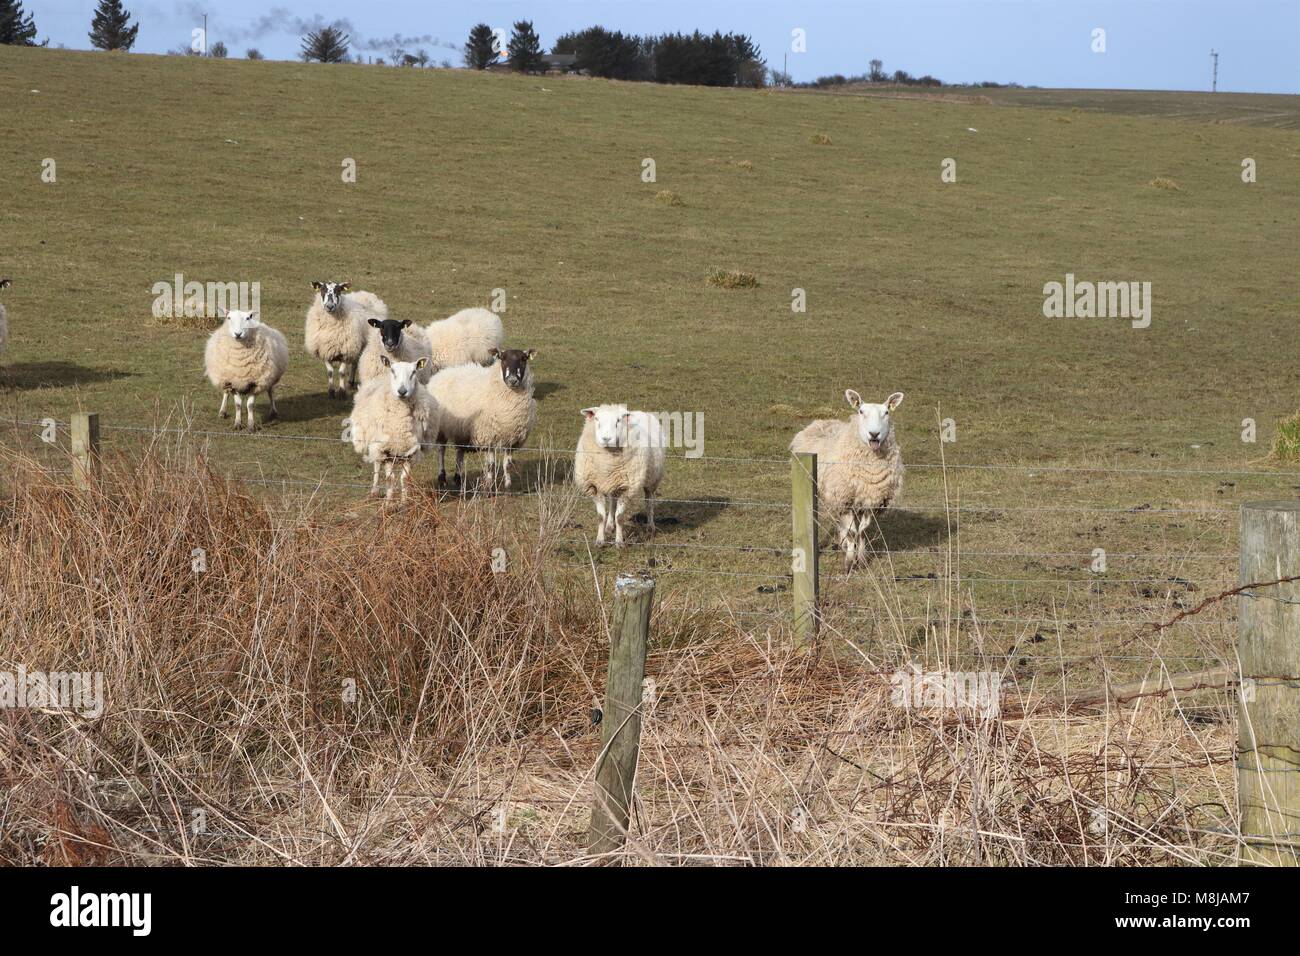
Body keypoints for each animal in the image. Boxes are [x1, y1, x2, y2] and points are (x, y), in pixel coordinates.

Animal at [348, 355, 440, 501]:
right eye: (392, 370)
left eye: (414, 372)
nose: (402, 391)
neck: (400, 423)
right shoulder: (386, 450)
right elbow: (389, 478)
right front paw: (388, 502)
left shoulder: (410, 450)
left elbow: (405, 479)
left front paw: (404, 502)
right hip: (376, 443)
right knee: (376, 465)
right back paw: (374, 491)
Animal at [428, 348, 537, 490]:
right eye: (502, 358)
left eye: (524, 359)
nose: (513, 380)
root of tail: (442, 373)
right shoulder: (488, 435)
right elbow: (490, 464)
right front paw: (489, 486)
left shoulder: (511, 437)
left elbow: (507, 464)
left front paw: (508, 485)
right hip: (441, 426)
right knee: (441, 450)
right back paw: (442, 478)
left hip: (461, 428)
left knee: (460, 450)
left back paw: (458, 478)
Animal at [573, 404, 667, 547]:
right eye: (597, 419)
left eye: (618, 420)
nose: (606, 439)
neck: (607, 463)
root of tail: (641, 412)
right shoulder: (594, 487)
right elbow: (601, 516)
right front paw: (600, 540)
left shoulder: (627, 488)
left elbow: (620, 517)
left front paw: (619, 542)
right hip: (614, 482)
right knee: (612, 501)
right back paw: (609, 526)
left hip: (652, 478)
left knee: (649, 501)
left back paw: (651, 527)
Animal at [790, 390, 905, 571]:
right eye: (861, 411)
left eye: (886, 412)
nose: (874, 434)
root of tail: (822, 421)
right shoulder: (843, 498)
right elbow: (852, 532)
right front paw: (849, 563)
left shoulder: (871, 500)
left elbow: (862, 532)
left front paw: (862, 560)